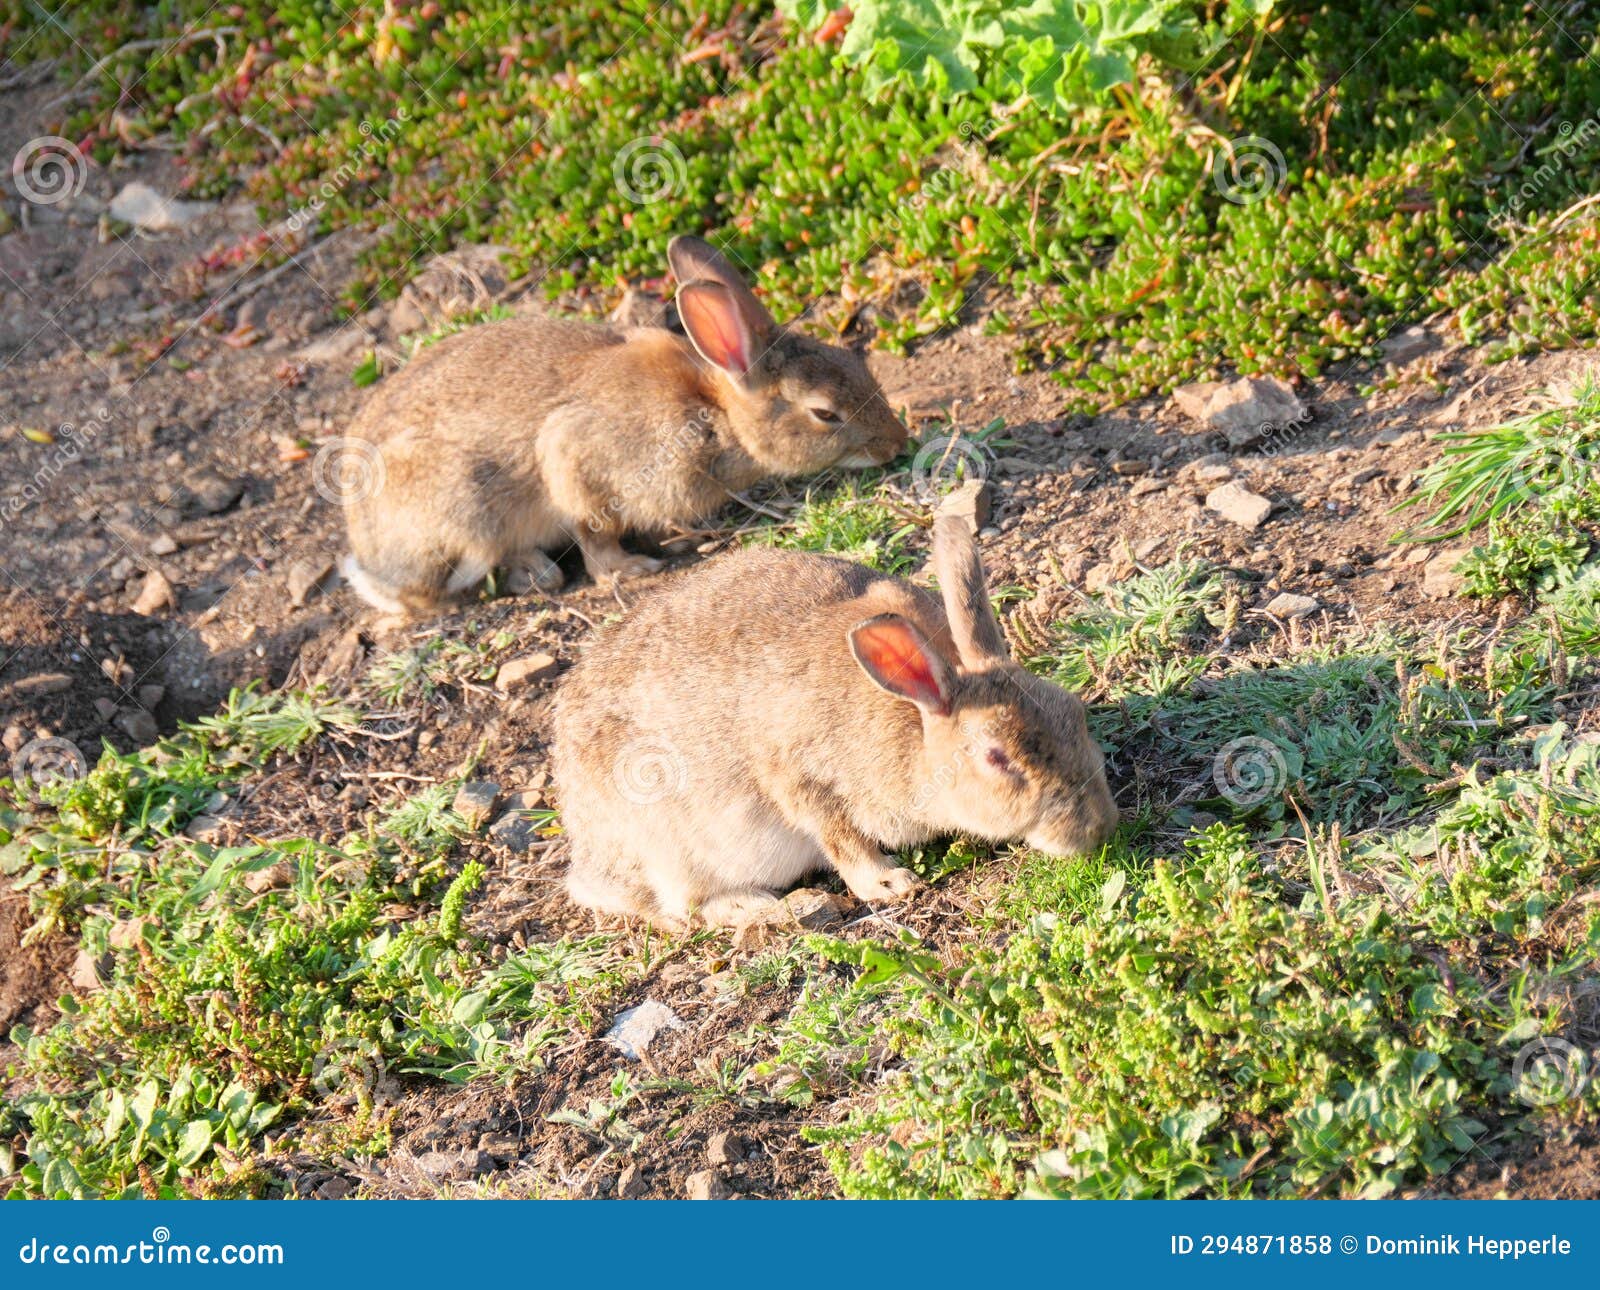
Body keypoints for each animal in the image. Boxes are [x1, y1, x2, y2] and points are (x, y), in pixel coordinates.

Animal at [339, 235, 907, 615]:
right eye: (825, 413)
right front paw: (631, 570)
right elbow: (592, 530)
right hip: (467, 510)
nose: (896, 444)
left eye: (853, 359)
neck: (716, 412)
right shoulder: (575, 457)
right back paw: (535, 572)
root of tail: (368, 549)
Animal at [551, 512, 1118, 928]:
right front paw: (890, 884)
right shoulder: (798, 777)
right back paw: (760, 906)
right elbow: (841, 838)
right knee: (679, 906)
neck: (917, 725)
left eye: (1076, 713)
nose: (1098, 827)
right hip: (671, 846)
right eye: (997, 758)